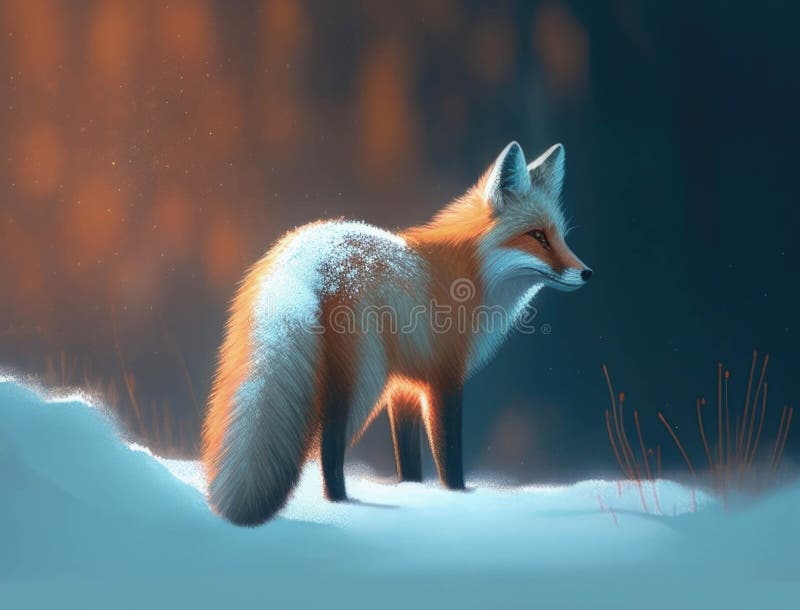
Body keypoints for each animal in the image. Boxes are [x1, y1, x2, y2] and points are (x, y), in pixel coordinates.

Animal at [201, 141, 592, 525]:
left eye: (560, 237)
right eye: (537, 236)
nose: (586, 273)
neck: (470, 274)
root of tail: (301, 255)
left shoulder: (404, 386)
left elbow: (408, 459)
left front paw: (413, 492)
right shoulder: (444, 378)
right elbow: (449, 455)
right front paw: (457, 497)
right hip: (364, 379)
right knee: (330, 446)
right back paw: (341, 504)